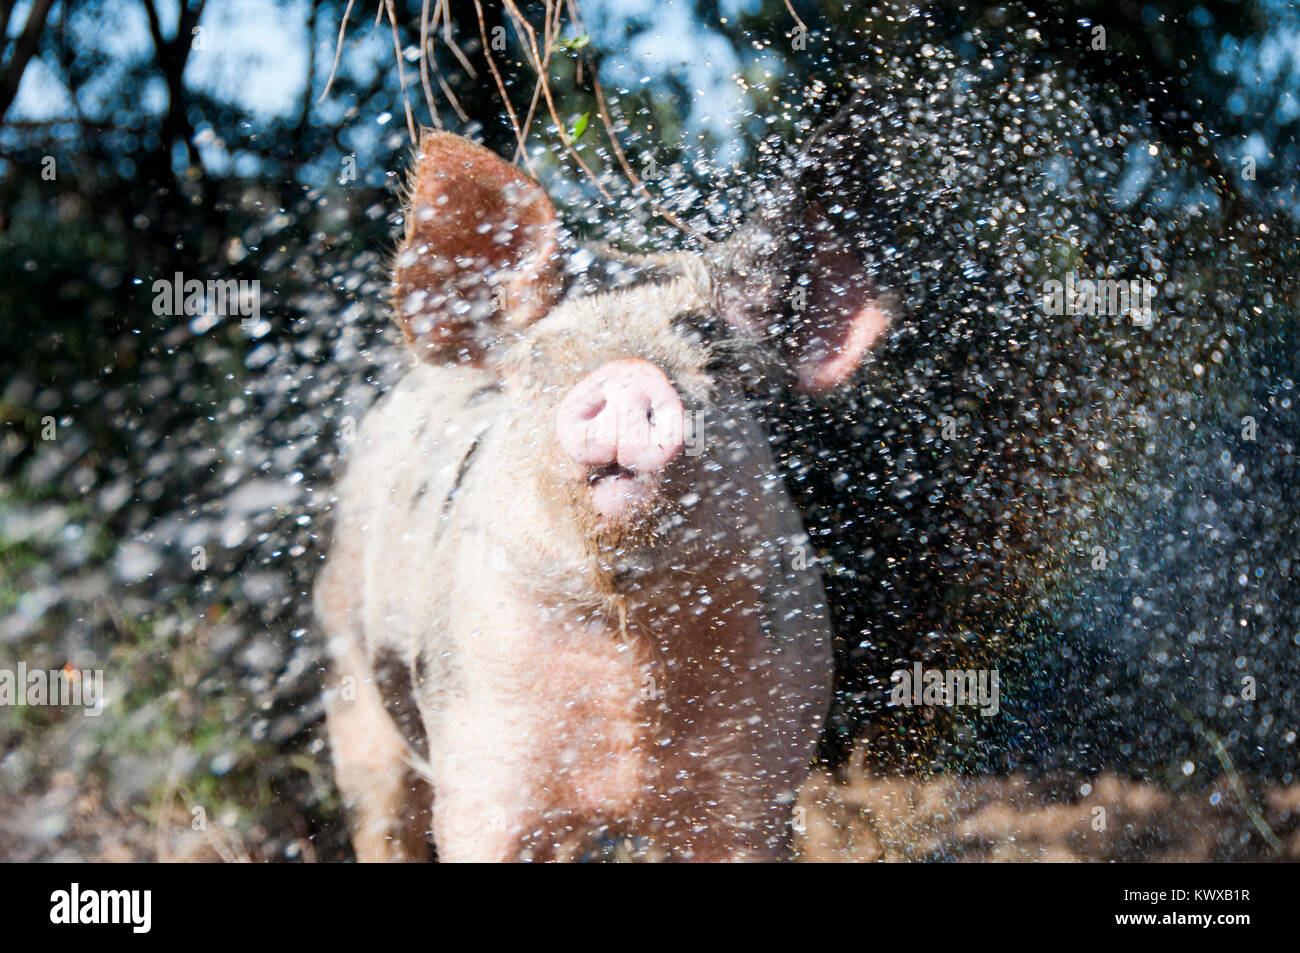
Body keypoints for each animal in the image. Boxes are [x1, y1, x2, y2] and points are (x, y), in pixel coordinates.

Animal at [315, 127, 890, 862]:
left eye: (718, 359)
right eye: (538, 359)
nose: (628, 374)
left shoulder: (760, 777)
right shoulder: (480, 761)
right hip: (348, 668)